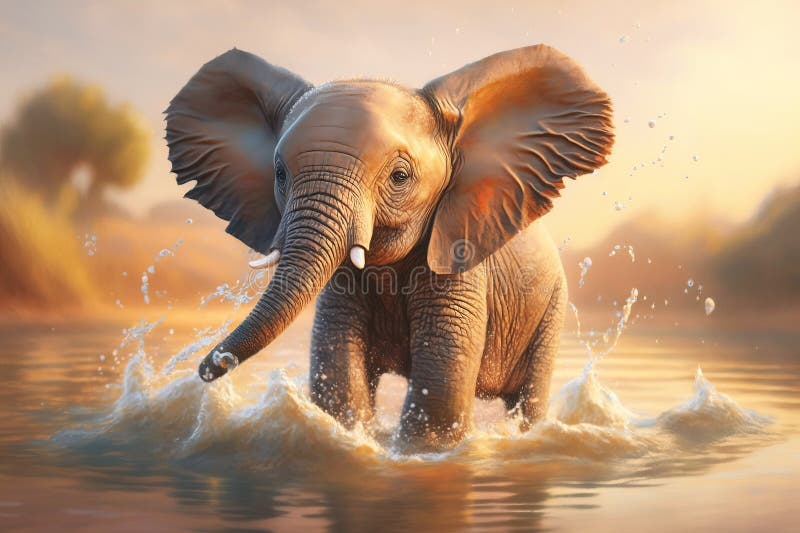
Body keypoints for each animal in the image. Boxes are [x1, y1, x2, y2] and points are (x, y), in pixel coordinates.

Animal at [165, 45, 614, 451]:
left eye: (400, 176)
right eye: (279, 173)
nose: (210, 366)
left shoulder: (457, 257)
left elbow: (441, 377)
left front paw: (422, 452)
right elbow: (337, 364)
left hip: (552, 306)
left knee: (529, 398)